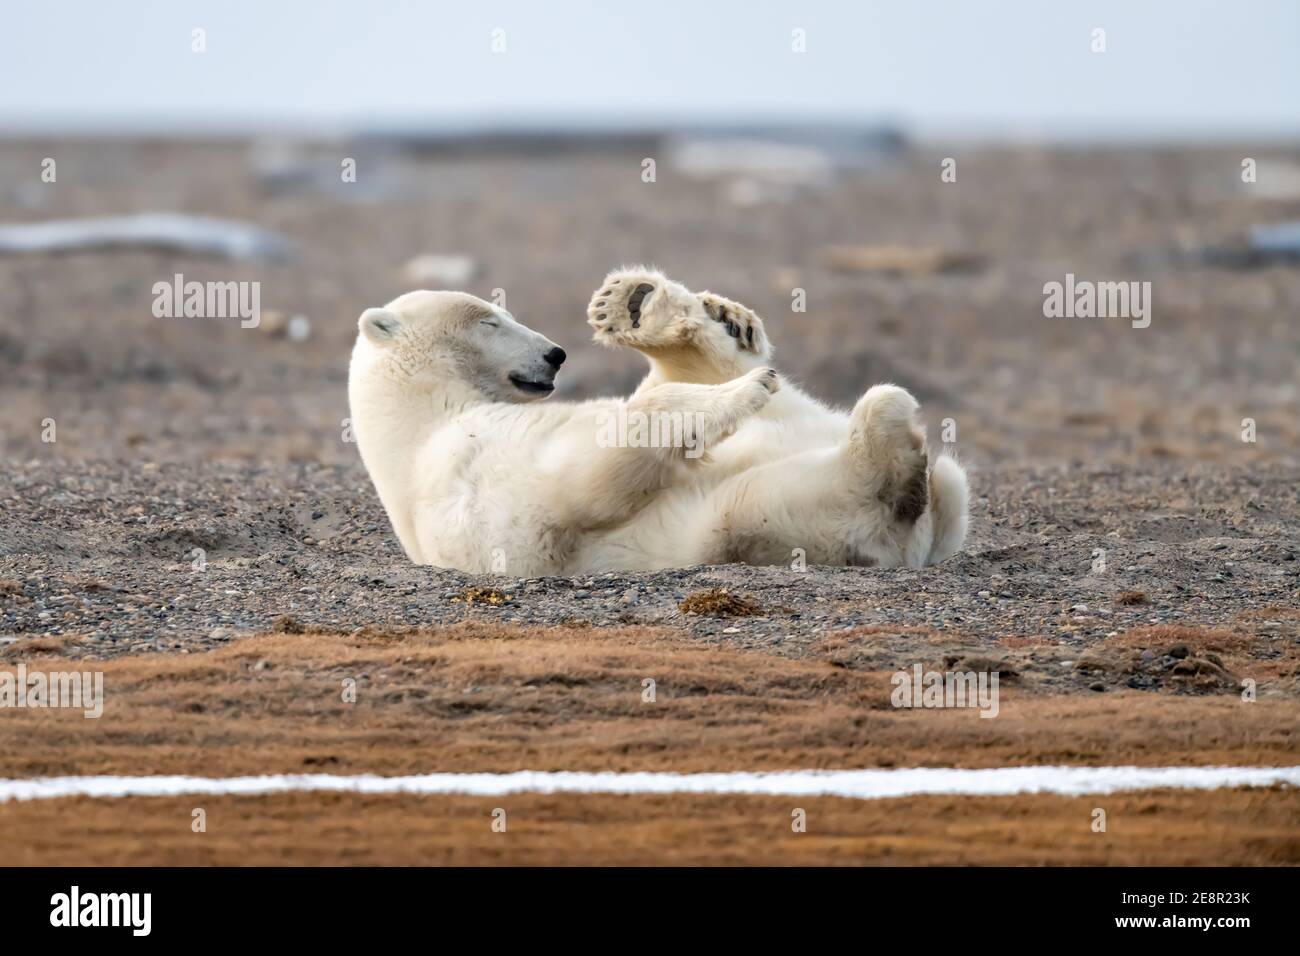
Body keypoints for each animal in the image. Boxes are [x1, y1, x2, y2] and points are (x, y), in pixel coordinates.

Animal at [348, 274, 968, 575]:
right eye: (488, 319)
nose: (555, 355)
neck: (425, 421)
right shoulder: (474, 467)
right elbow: (590, 474)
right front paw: (739, 395)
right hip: (781, 513)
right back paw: (892, 438)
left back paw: (653, 308)